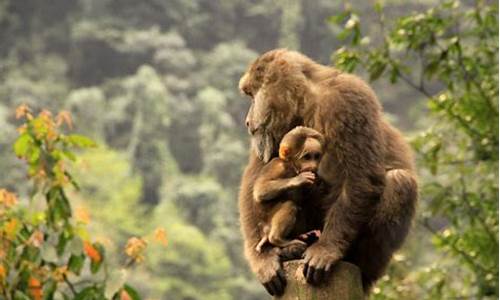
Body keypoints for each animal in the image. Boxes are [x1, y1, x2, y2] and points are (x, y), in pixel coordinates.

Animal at [238, 49, 418, 296]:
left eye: (252, 95)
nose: (247, 121)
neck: (306, 101)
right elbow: (257, 179)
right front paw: (263, 260)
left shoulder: (348, 99)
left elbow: (360, 176)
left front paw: (326, 249)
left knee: (400, 181)